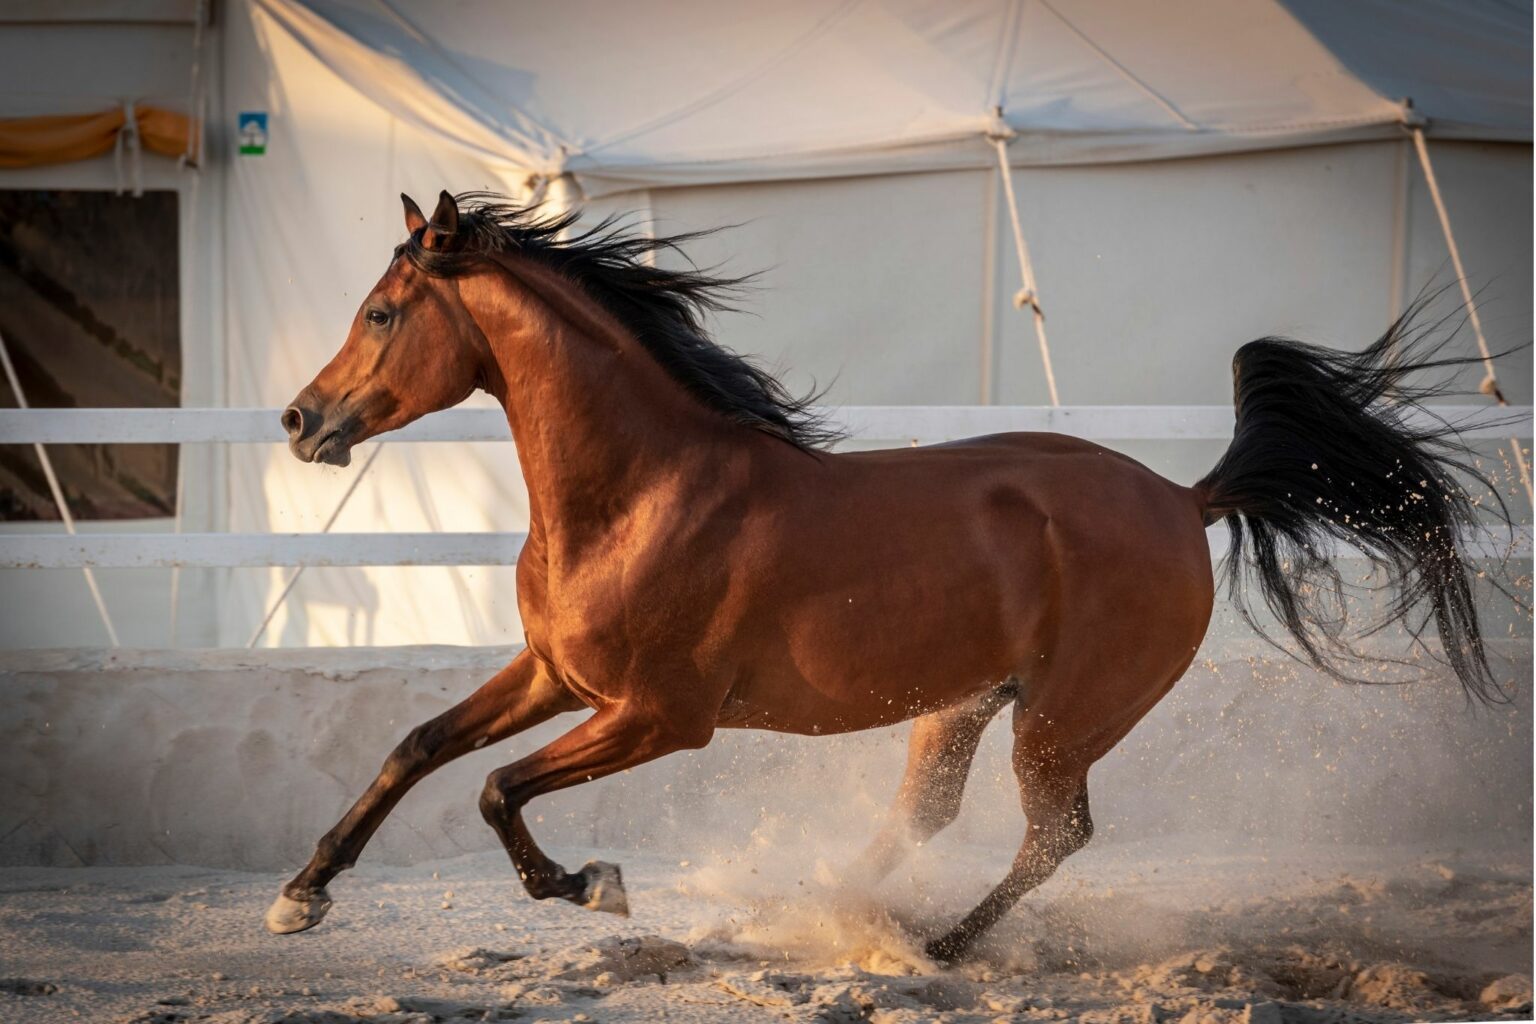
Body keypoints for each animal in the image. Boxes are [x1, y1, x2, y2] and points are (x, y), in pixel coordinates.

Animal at [266, 190, 1510, 962]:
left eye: (380, 312)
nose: (298, 421)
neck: (641, 493)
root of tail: (1182, 497)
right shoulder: (555, 675)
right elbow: (418, 747)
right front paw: (300, 894)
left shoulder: (658, 716)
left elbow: (494, 788)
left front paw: (593, 883)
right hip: (957, 706)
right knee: (927, 815)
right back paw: (835, 910)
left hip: (1059, 721)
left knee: (1055, 834)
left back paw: (938, 944)